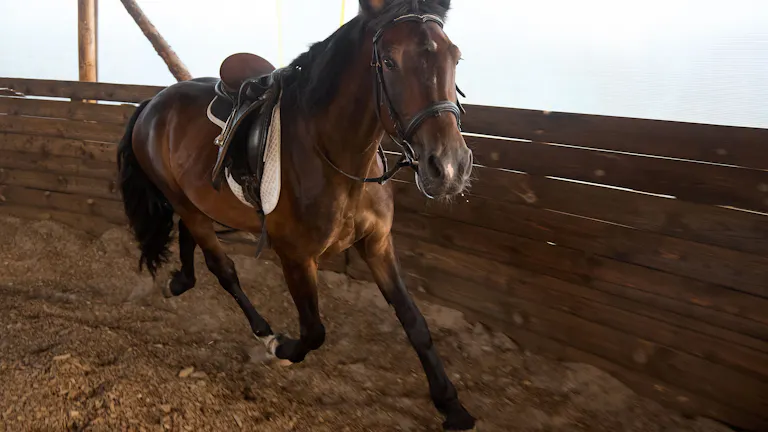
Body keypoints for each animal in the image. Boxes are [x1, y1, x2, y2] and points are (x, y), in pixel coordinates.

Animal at [116, 0, 475, 429]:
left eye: (456, 56)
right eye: (389, 61)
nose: (449, 168)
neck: (331, 154)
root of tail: (152, 103)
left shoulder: (377, 244)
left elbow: (415, 322)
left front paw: (451, 404)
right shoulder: (296, 257)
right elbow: (314, 330)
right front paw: (284, 348)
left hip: (191, 199)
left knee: (189, 236)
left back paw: (182, 282)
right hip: (182, 200)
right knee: (223, 269)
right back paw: (261, 330)